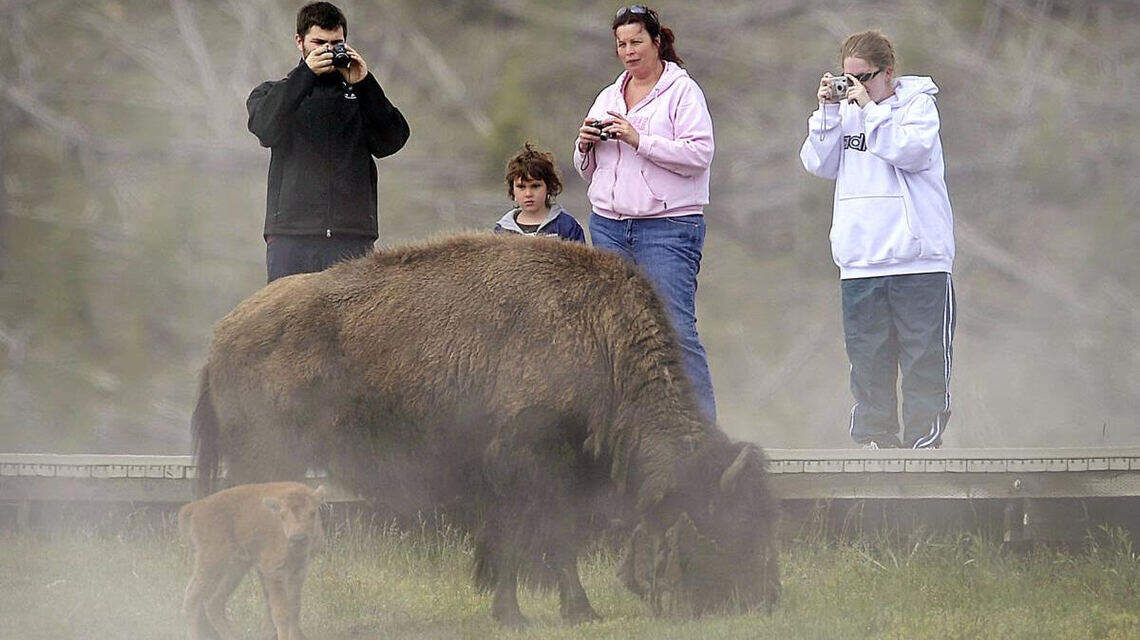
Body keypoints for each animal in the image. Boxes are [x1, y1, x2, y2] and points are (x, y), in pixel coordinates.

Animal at [192, 233, 779, 626]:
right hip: (264, 459)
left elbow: (517, 543)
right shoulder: (531, 468)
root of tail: (222, 333)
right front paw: (567, 612)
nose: (762, 600)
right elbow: (543, 539)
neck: (598, 338)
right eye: (724, 523)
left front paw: (516, 611)